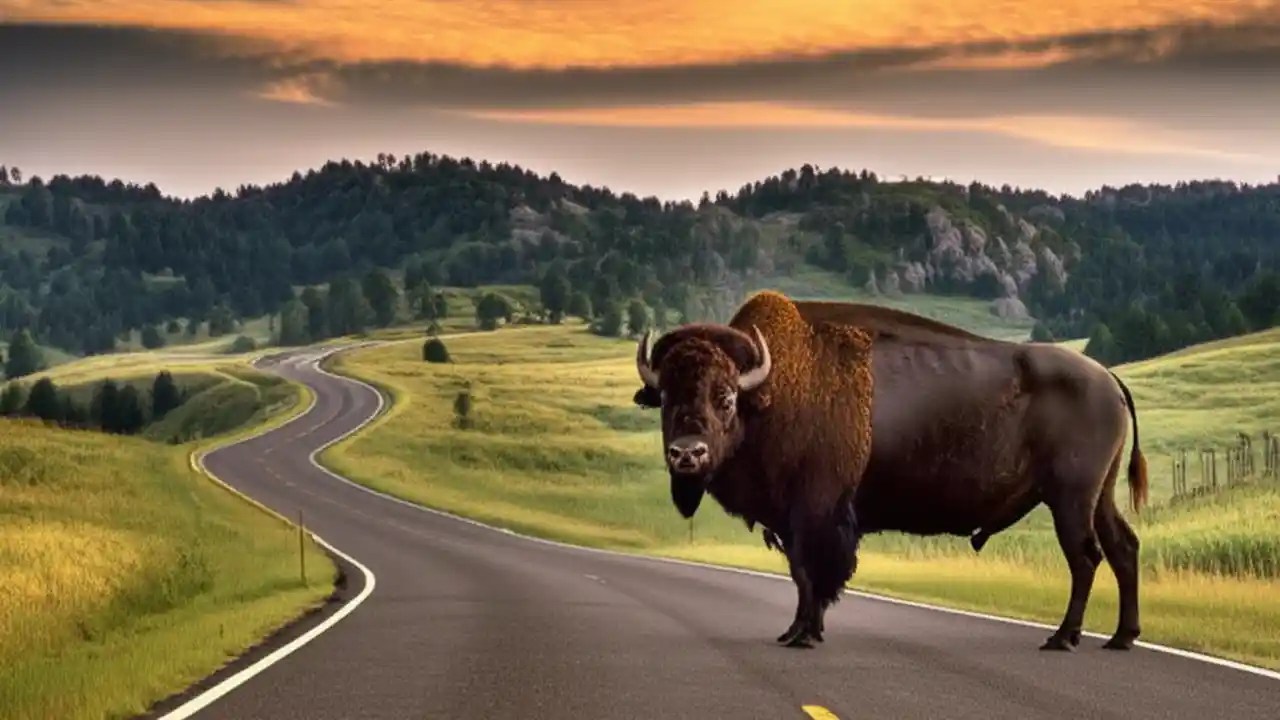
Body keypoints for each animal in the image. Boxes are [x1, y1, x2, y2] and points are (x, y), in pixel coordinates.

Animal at [633, 290, 1147, 652]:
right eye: (666, 398)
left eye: (725, 397)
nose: (687, 454)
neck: (769, 391)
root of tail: (1108, 379)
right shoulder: (792, 519)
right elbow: (802, 574)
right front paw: (797, 631)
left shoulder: (816, 511)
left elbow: (813, 573)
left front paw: (804, 635)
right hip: (1099, 496)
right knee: (1123, 548)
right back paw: (1119, 638)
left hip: (1070, 498)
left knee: (1085, 557)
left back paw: (1062, 638)